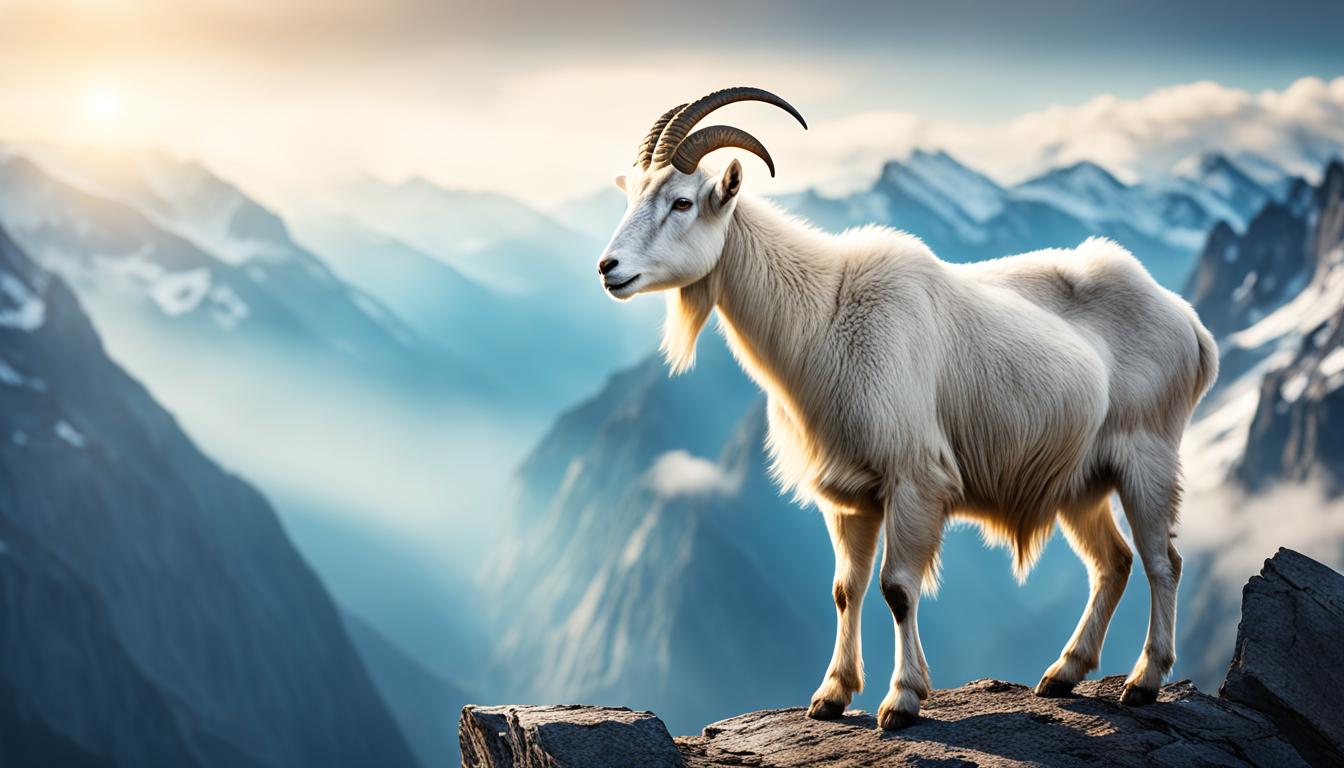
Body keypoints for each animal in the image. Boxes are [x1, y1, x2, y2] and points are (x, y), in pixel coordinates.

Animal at [598, 87, 1218, 729]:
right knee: (1112, 562)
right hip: (1079, 482)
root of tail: (1190, 325)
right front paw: (831, 695)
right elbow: (845, 589)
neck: (826, 314)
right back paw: (1062, 674)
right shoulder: (849, 495)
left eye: (682, 201)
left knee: (1162, 561)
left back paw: (1144, 681)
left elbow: (897, 587)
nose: (608, 268)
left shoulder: (915, 478)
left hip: (1148, 459)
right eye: (633, 194)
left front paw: (901, 700)